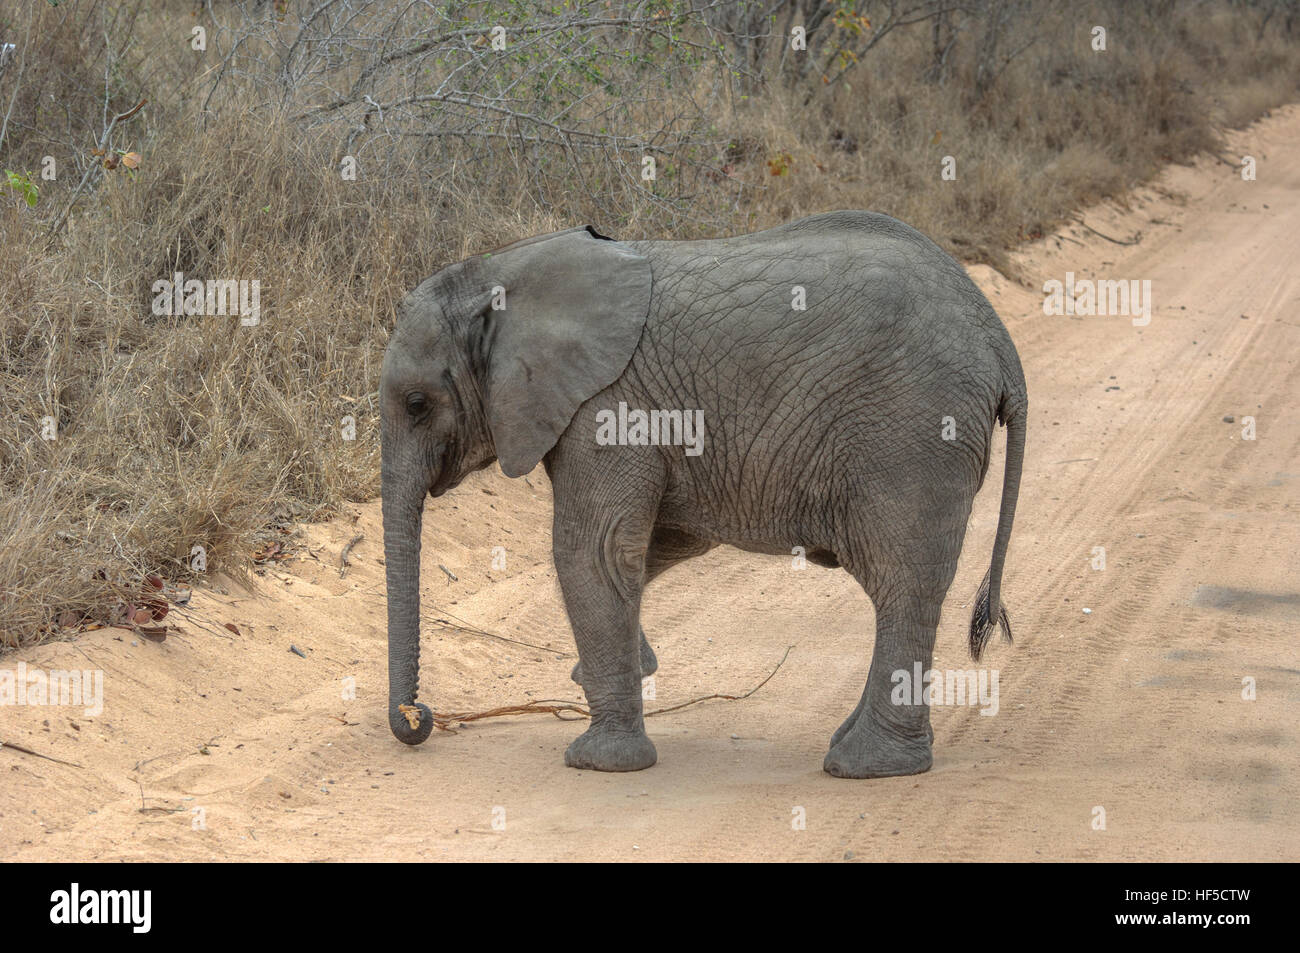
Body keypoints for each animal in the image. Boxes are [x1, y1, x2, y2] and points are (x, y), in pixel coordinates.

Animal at [380, 210, 1026, 778]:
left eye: (416, 404)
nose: (418, 716)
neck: (500, 273)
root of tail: (1000, 340)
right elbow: (659, 544)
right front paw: (614, 671)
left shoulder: (608, 406)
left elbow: (592, 552)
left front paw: (599, 762)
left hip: (914, 430)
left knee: (901, 581)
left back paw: (865, 766)